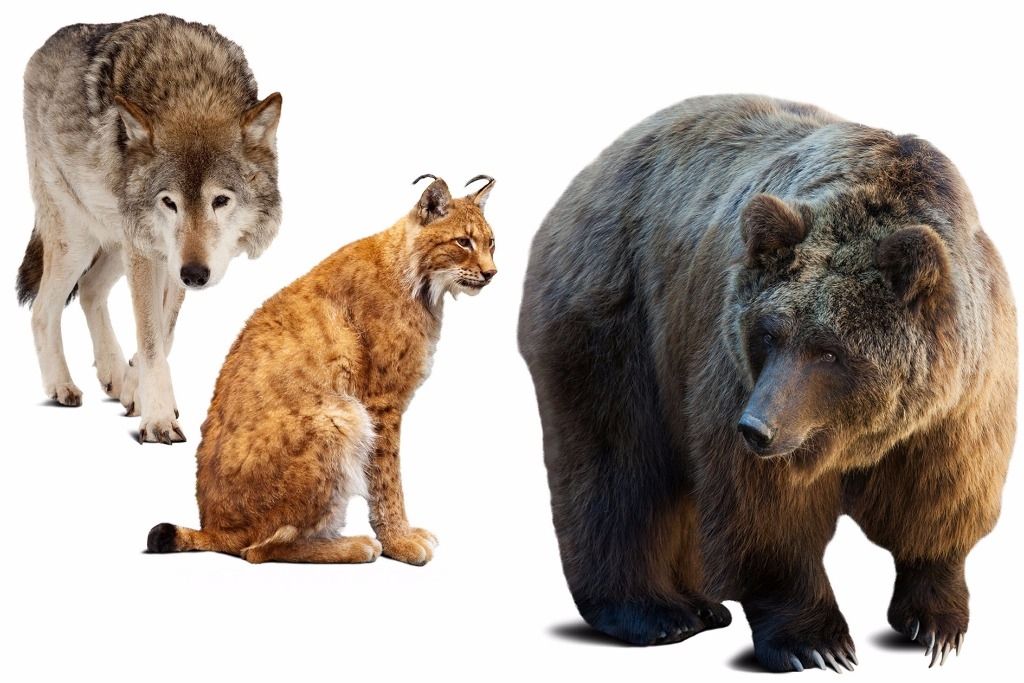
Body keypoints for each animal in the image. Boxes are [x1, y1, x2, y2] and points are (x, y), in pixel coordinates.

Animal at [17, 14, 282, 443]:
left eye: (220, 201)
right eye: (169, 202)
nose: (196, 274)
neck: (192, 90)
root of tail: (45, 46)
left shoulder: (168, 258)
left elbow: (163, 331)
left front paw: (135, 392)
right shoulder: (153, 253)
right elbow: (152, 337)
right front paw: (157, 418)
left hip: (117, 239)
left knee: (90, 289)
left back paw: (114, 375)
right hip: (81, 237)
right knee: (43, 308)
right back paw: (61, 386)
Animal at [518, 95, 1016, 672]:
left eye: (830, 349)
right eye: (769, 333)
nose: (757, 428)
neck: (859, 434)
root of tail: (586, 175)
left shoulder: (955, 408)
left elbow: (939, 496)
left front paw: (934, 624)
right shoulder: (735, 375)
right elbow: (764, 511)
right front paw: (816, 643)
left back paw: (702, 603)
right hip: (619, 322)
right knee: (617, 463)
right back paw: (656, 613)